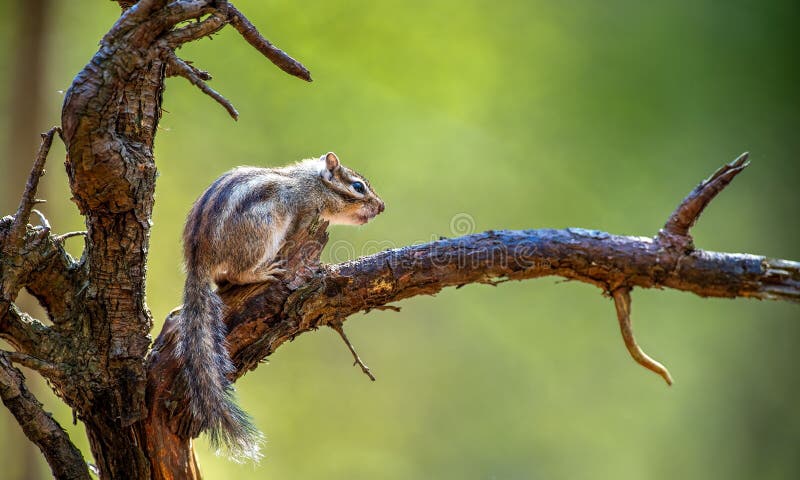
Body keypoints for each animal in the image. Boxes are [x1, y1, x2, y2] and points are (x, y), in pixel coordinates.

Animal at [174, 152, 384, 460]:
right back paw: (262, 272)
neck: (311, 183)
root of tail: (198, 262)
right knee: (239, 273)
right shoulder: (304, 214)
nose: (382, 206)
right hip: (261, 233)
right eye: (358, 187)